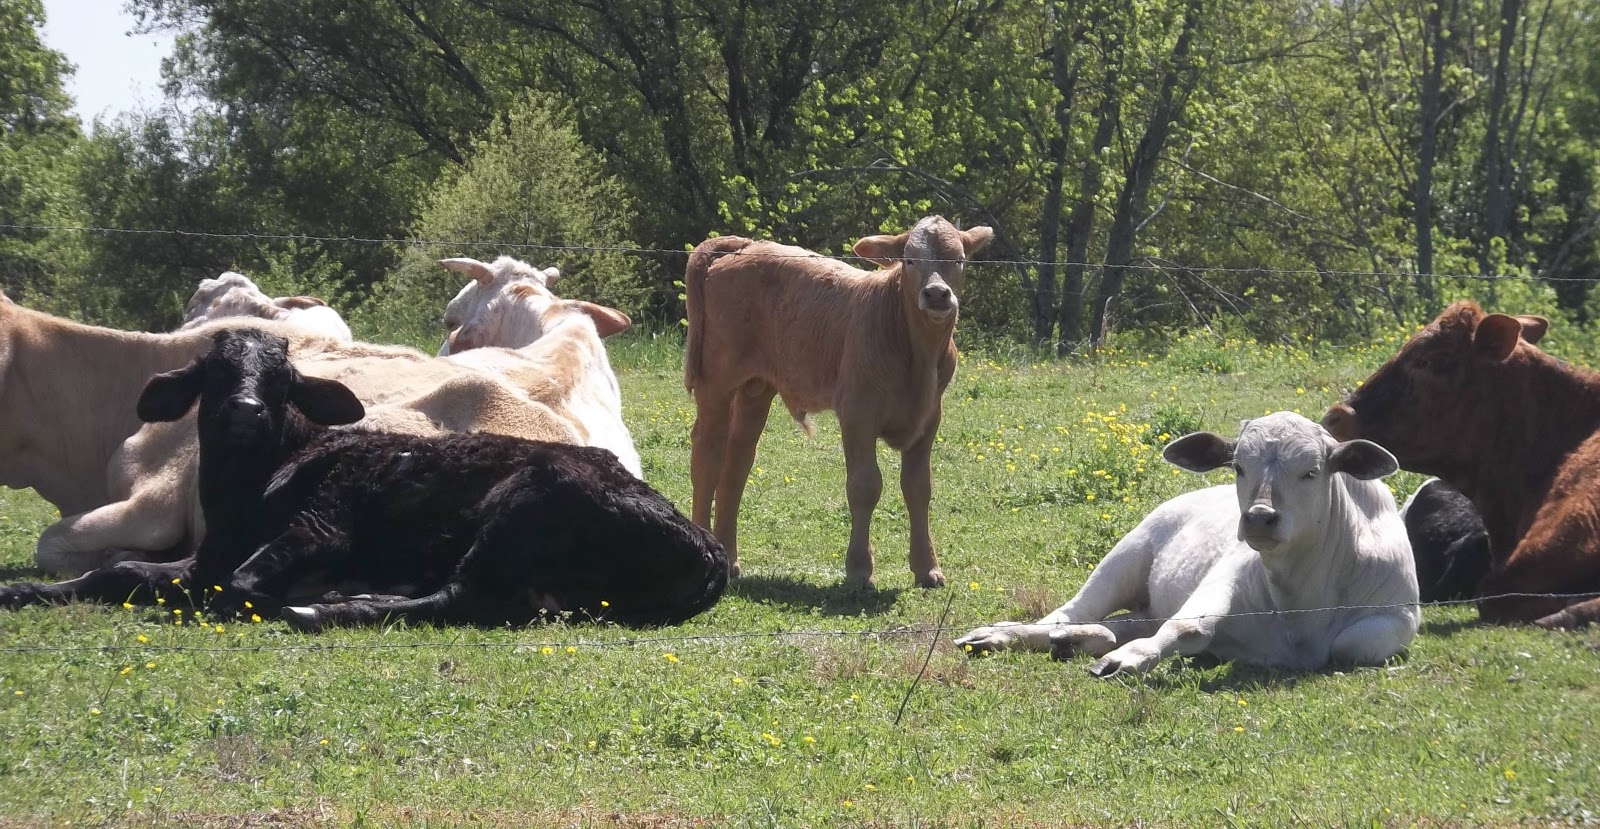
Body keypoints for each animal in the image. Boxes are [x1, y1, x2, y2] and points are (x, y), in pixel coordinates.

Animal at [684, 216, 993, 588]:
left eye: (958, 260)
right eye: (909, 260)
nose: (936, 294)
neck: (917, 354)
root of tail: (746, 244)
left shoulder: (929, 417)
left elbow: (919, 488)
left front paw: (927, 568)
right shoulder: (857, 413)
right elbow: (865, 485)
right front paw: (859, 569)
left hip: (756, 388)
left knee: (737, 463)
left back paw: (730, 560)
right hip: (716, 381)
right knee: (707, 457)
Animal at [956, 412, 1420, 676]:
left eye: (1311, 472)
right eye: (1238, 467)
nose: (1258, 518)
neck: (1300, 602)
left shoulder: (1399, 616)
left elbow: (1349, 646)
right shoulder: (1225, 575)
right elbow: (1190, 626)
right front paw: (1131, 658)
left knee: (1114, 625)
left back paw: (1077, 640)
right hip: (1124, 558)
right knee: (1067, 614)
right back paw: (1002, 635)